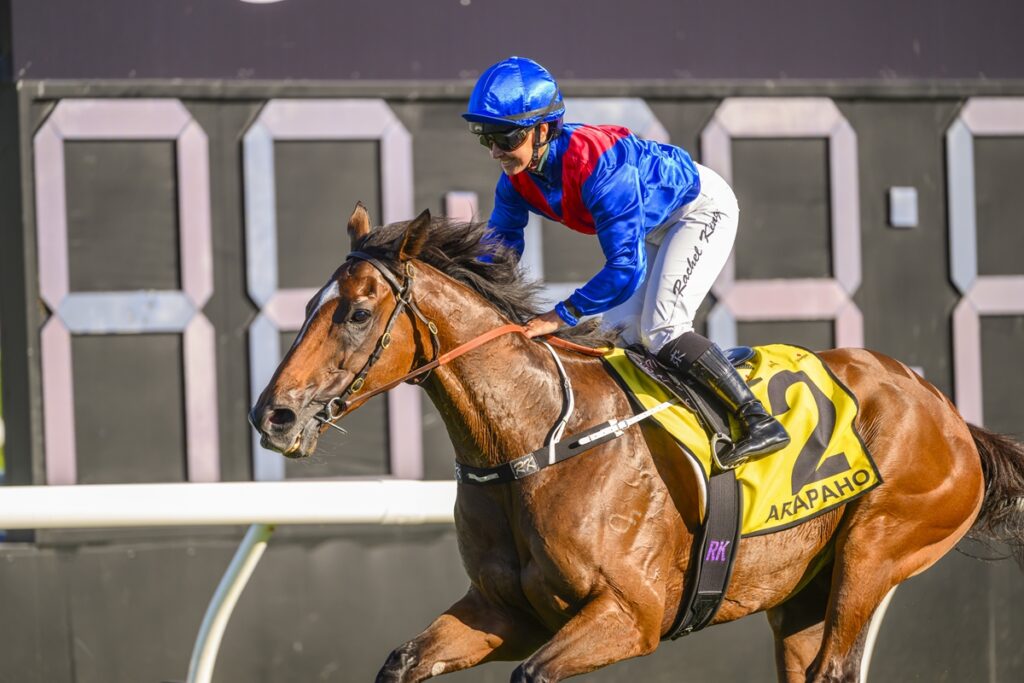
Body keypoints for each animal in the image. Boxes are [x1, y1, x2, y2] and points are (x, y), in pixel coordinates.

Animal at [250, 205, 1024, 682]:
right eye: (311, 303)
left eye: (355, 313)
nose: (274, 414)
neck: (536, 440)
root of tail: (949, 413)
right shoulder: (504, 611)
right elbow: (404, 659)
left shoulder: (632, 614)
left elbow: (536, 671)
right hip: (801, 593)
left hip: (876, 552)